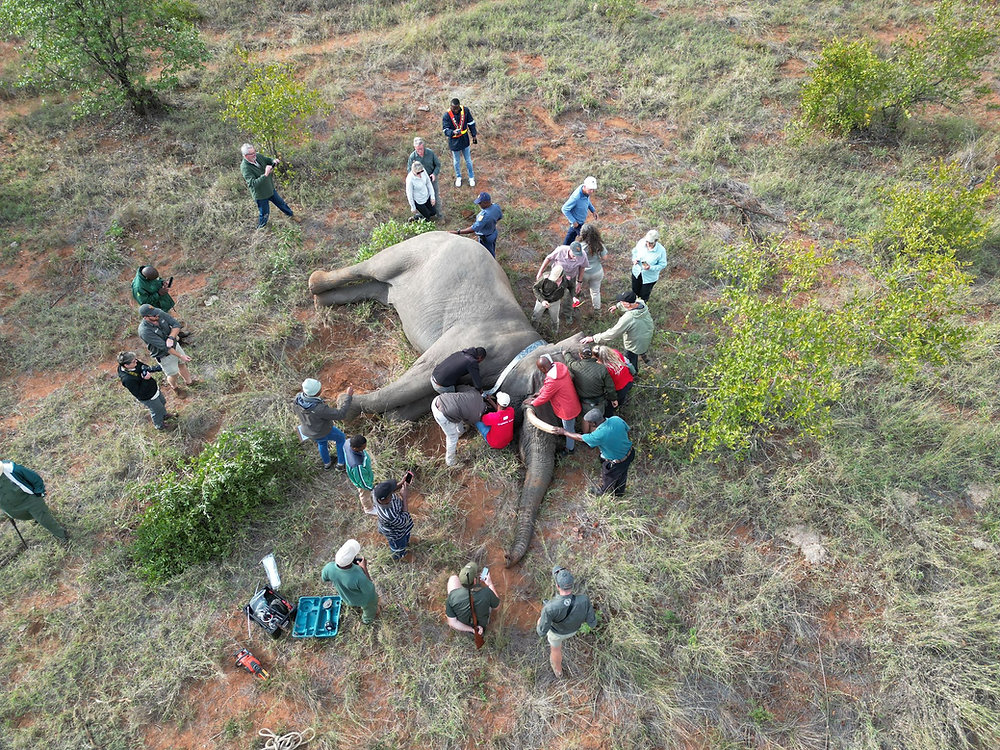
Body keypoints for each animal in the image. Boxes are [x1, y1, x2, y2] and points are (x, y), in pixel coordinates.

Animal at [309, 231, 582, 566]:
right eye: (537, 399)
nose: (506, 557)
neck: (528, 344)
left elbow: (429, 395)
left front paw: (394, 419)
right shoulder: (466, 342)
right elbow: (423, 376)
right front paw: (345, 407)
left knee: (377, 289)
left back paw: (322, 300)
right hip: (413, 249)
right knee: (373, 267)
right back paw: (315, 283)